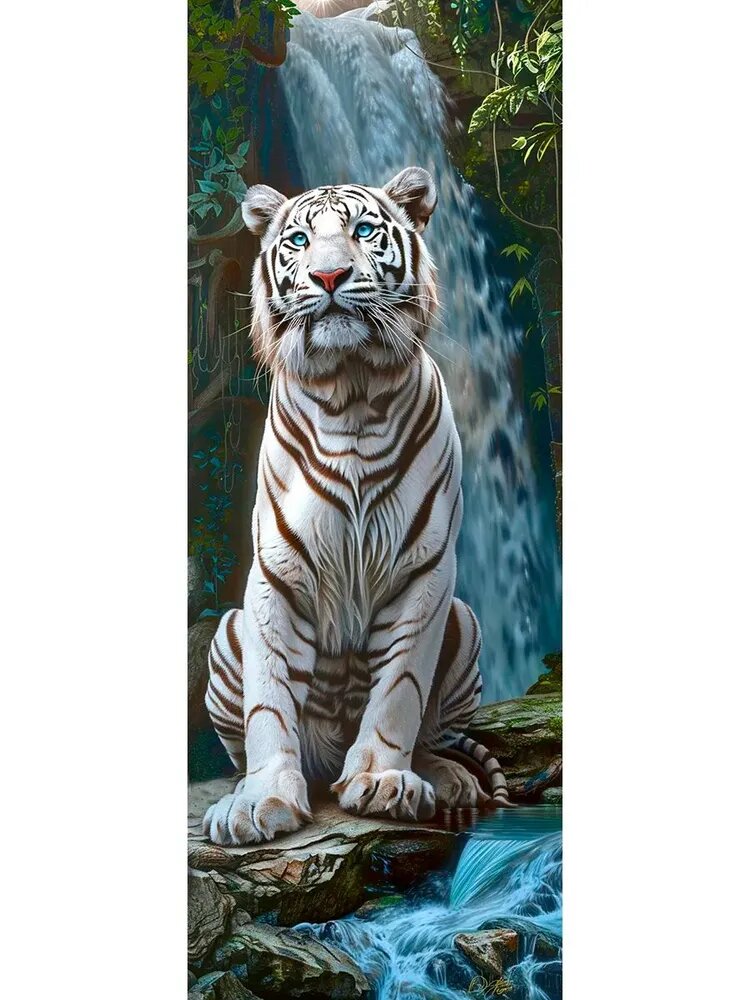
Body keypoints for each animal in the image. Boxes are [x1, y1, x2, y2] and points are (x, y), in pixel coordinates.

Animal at [202, 167, 511, 846]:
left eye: (364, 231)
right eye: (296, 240)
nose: (328, 276)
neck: (352, 393)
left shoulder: (427, 572)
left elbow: (399, 688)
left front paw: (380, 780)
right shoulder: (274, 577)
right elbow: (269, 702)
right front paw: (261, 801)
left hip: (466, 620)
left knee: (434, 737)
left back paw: (446, 779)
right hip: (226, 631)